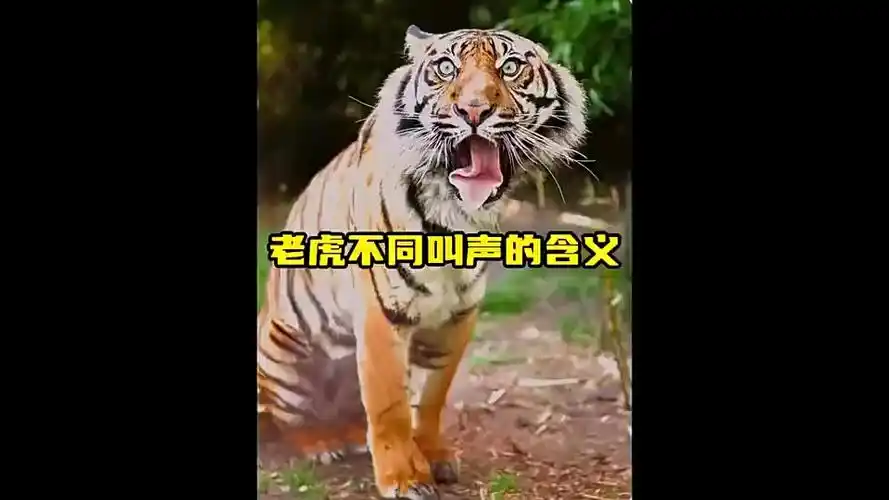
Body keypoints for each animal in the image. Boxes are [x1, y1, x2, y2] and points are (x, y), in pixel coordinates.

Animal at [257, 24, 588, 499]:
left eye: (510, 67)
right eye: (446, 68)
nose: (474, 111)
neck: (456, 217)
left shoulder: (457, 316)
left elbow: (430, 396)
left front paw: (432, 455)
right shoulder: (382, 315)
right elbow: (389, 405)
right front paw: (403, 477)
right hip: (279, 347)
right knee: (290, 417)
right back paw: (322, 443)